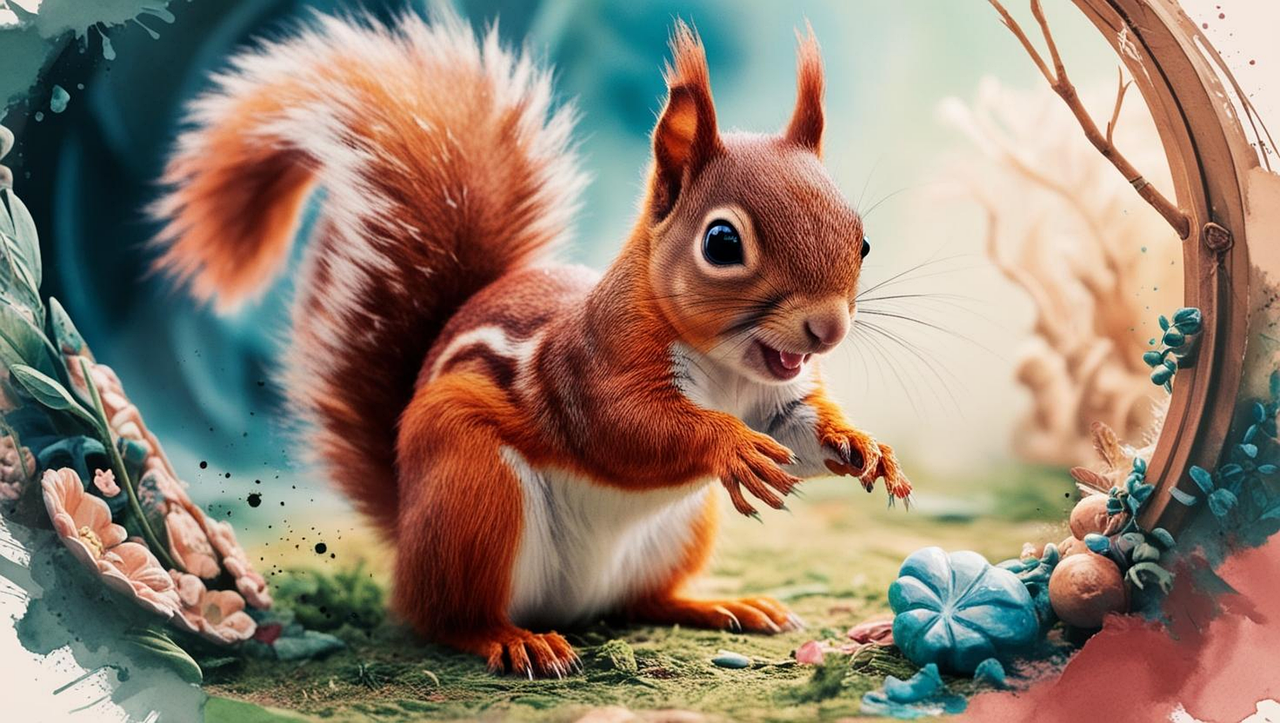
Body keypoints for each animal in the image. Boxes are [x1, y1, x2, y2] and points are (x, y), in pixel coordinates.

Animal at [151, 12, 913, 677]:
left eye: (862, 240)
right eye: (722, 242)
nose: (827, 328)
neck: (728, 370)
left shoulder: (779, 397)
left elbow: (799, 428)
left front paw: (862, 445)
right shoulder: (590, 369)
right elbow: (627, 431)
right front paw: (730, 445)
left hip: (673, 533)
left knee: (641, 600)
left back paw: (720, 604)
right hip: (470, 489)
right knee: (447, 615)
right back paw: (512, 639)